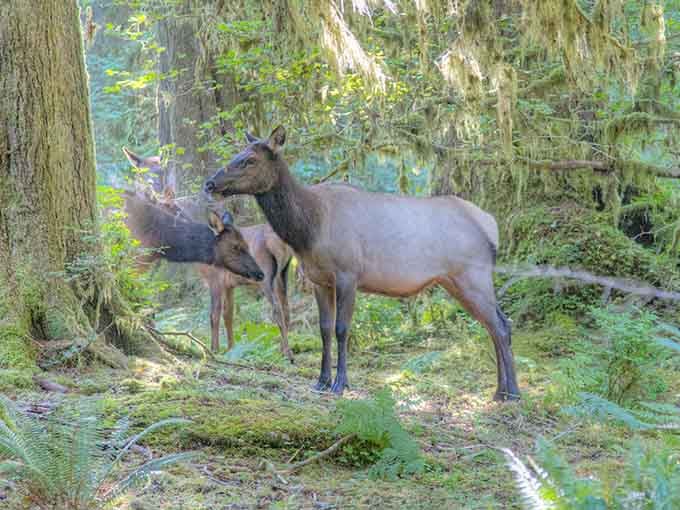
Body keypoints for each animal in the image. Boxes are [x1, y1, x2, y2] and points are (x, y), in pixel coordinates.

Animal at [123, 149, 294, 360]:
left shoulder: (215, 280)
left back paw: (287, 353)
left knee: (277, 310)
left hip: (267, 276)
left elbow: (214, 315)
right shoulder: (228, 284)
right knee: (286, 309)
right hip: (283, 275)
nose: (154, 197)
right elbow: (229, 315)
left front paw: (215, 350)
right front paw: (230, 349)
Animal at [204, 126, 520, 401]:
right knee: (494, 325)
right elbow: (324, 329)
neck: (308, 230)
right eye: (236, 154)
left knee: (501, 324)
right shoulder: (319, 280)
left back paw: (513, 393)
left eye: (249, 160)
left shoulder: (348, 274)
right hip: (455, 282)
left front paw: (340, 384)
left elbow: (342, 329)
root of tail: (492, 226)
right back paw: (500, 391)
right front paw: (321, 381)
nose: (210, 183)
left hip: (473, 276)